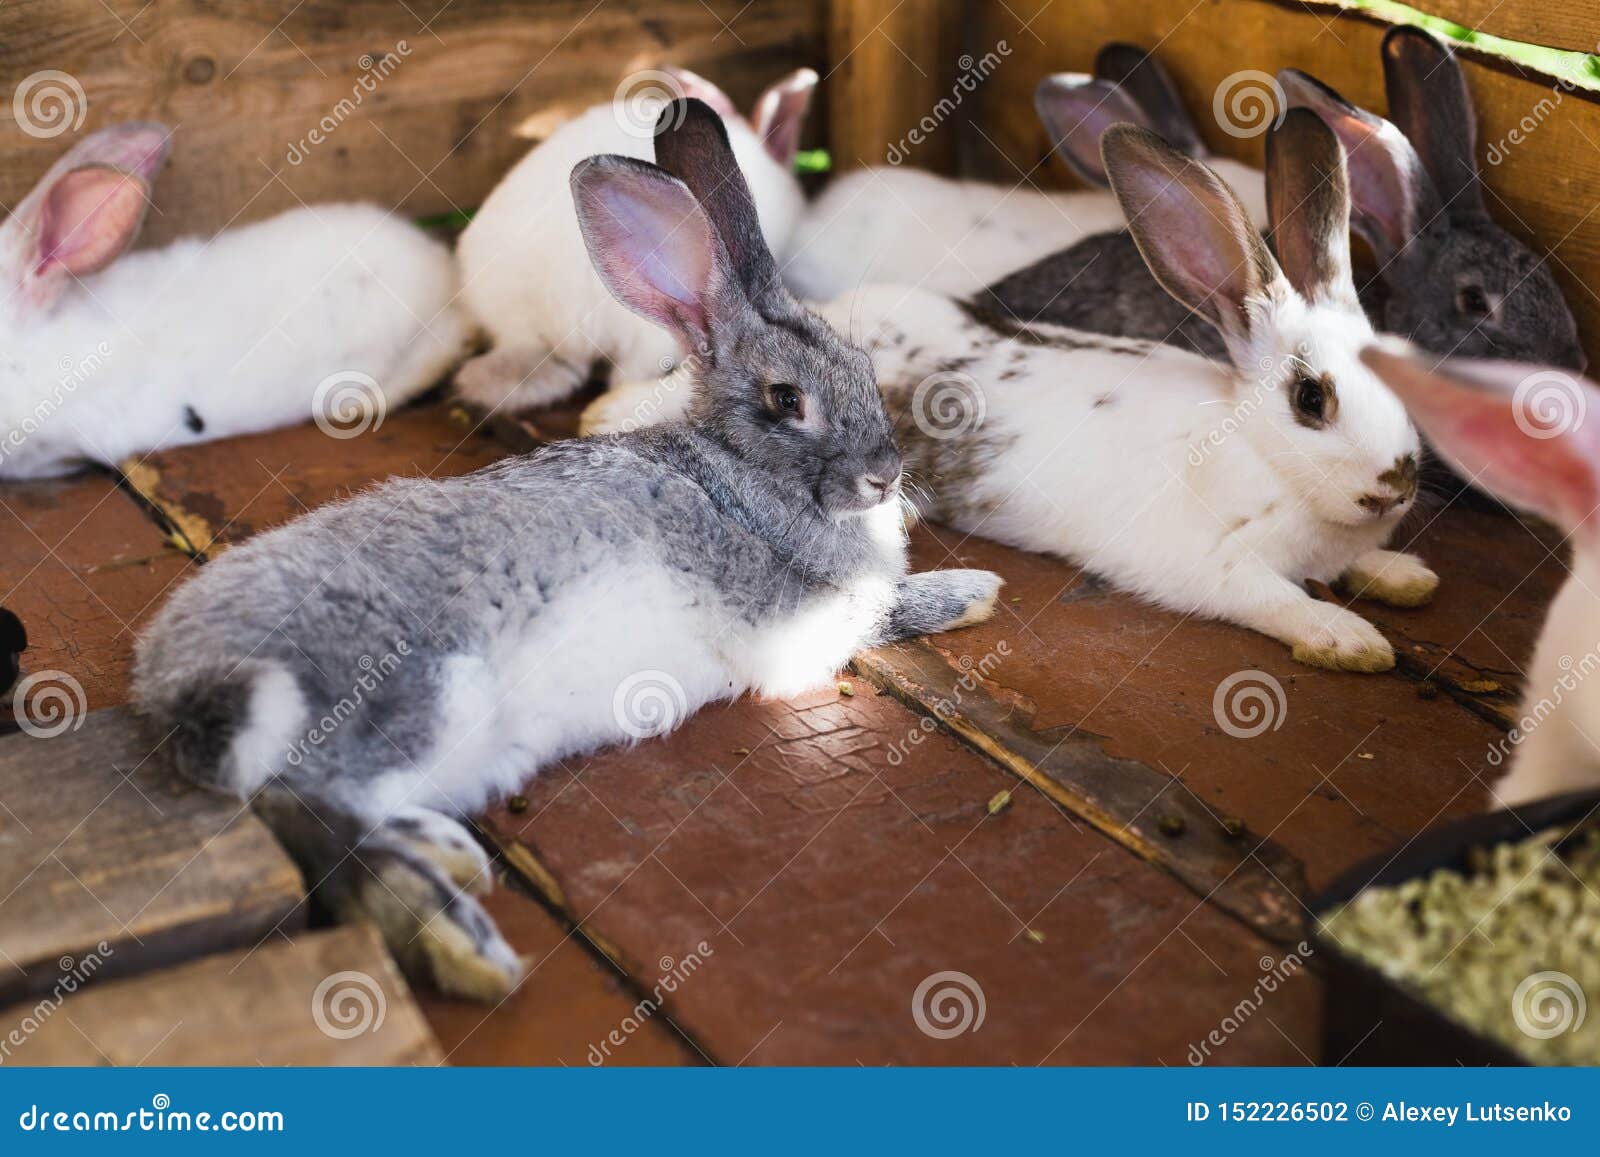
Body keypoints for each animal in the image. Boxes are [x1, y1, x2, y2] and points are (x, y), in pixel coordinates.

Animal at [807, 111, 1434, 672]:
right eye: (1309, 399)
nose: (1396, 486)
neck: (1259, 454)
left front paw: (1407, 574)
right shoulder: (1214, 567)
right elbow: (1279, 600)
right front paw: (1350, 640)